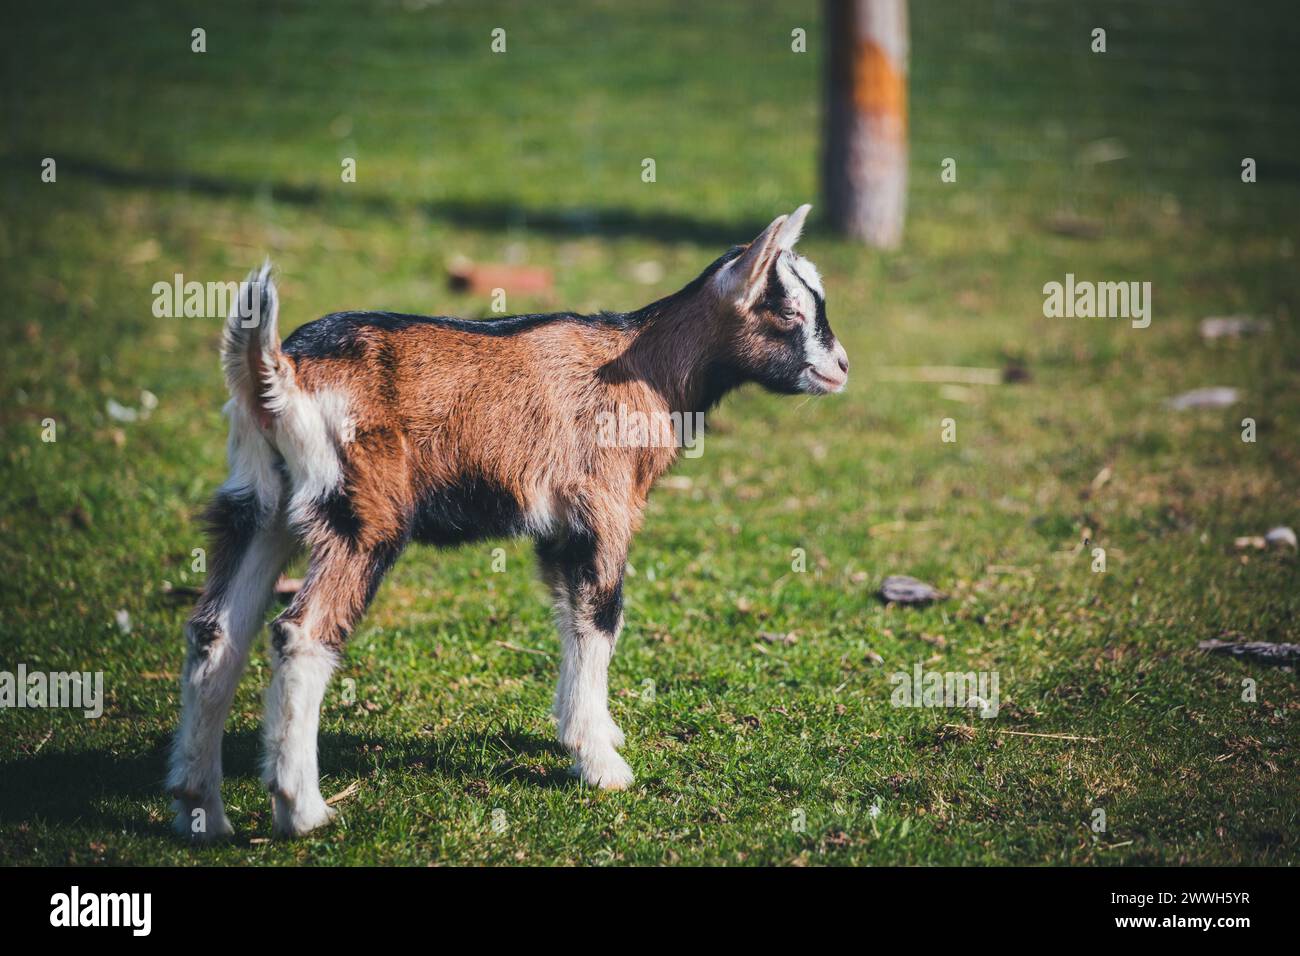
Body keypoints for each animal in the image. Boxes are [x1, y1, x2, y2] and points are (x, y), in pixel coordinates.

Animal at [167, 204, 849, 838]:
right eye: (788, 312)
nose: (841, 366)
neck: (644, 366)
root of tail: (279, 372)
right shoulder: (604, 509)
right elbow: (601, 620)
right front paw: (603, 767)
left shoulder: (560, 528)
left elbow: (572, 619)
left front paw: (593, 734)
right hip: (362, 515)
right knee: (300, 634)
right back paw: (303, 810)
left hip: (259, 505)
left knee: (216, 634)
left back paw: (202, 809)